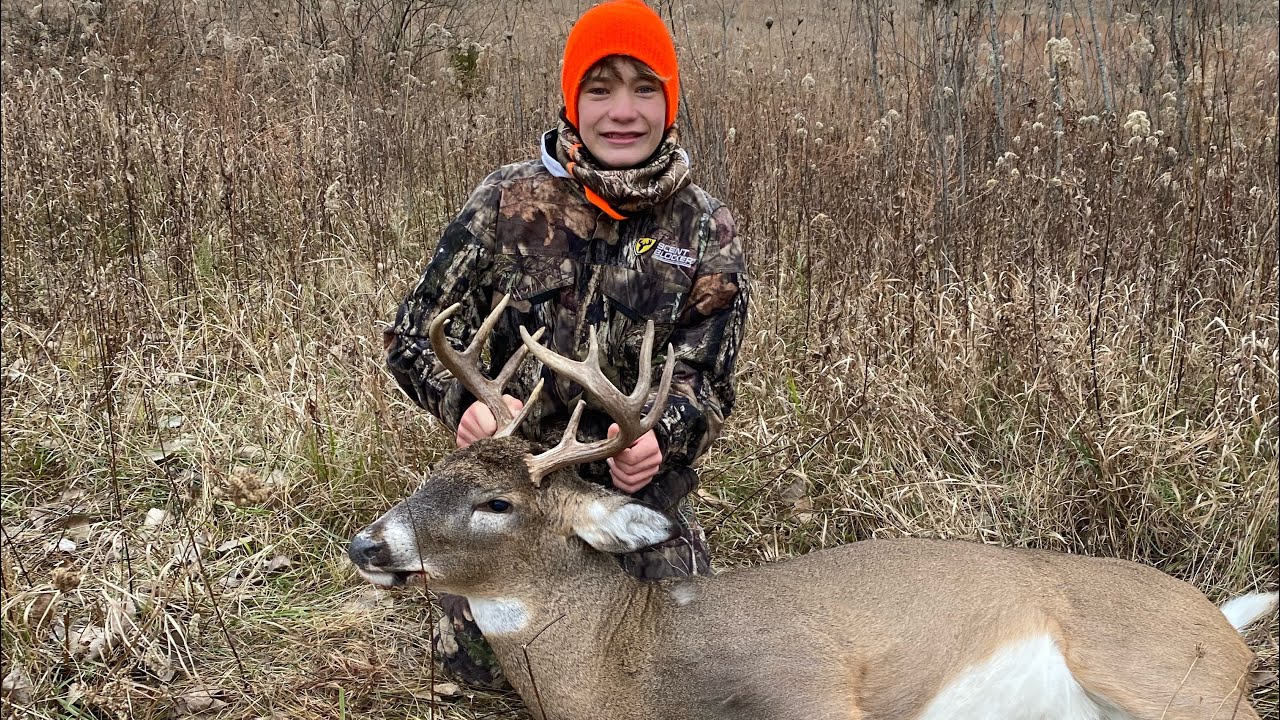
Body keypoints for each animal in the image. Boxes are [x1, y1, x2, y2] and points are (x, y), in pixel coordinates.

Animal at [348, 297, 1278, 720]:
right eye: (434, 469)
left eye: (495, 502)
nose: (366, 543)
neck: (630, 666)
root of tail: (1224, 624)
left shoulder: (810, 684)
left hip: (1164, 677)